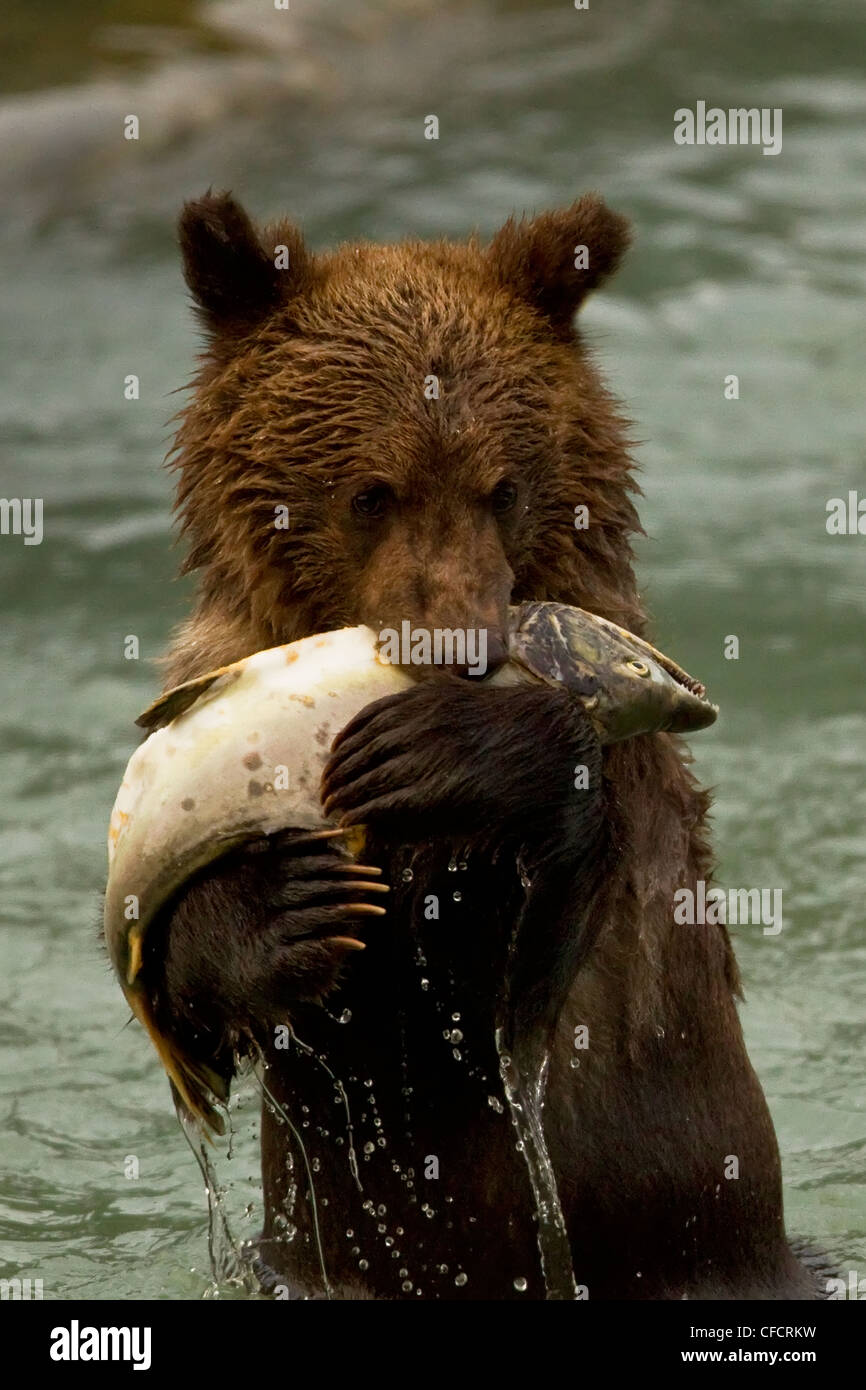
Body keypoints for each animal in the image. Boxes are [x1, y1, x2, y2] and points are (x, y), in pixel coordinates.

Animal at [142, 190, 819, 1300]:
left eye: (503, 486)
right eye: (370, 491)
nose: (462, 646)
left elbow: (540, 969)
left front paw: (447, 752)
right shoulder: (211, 696)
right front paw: (292, 906)